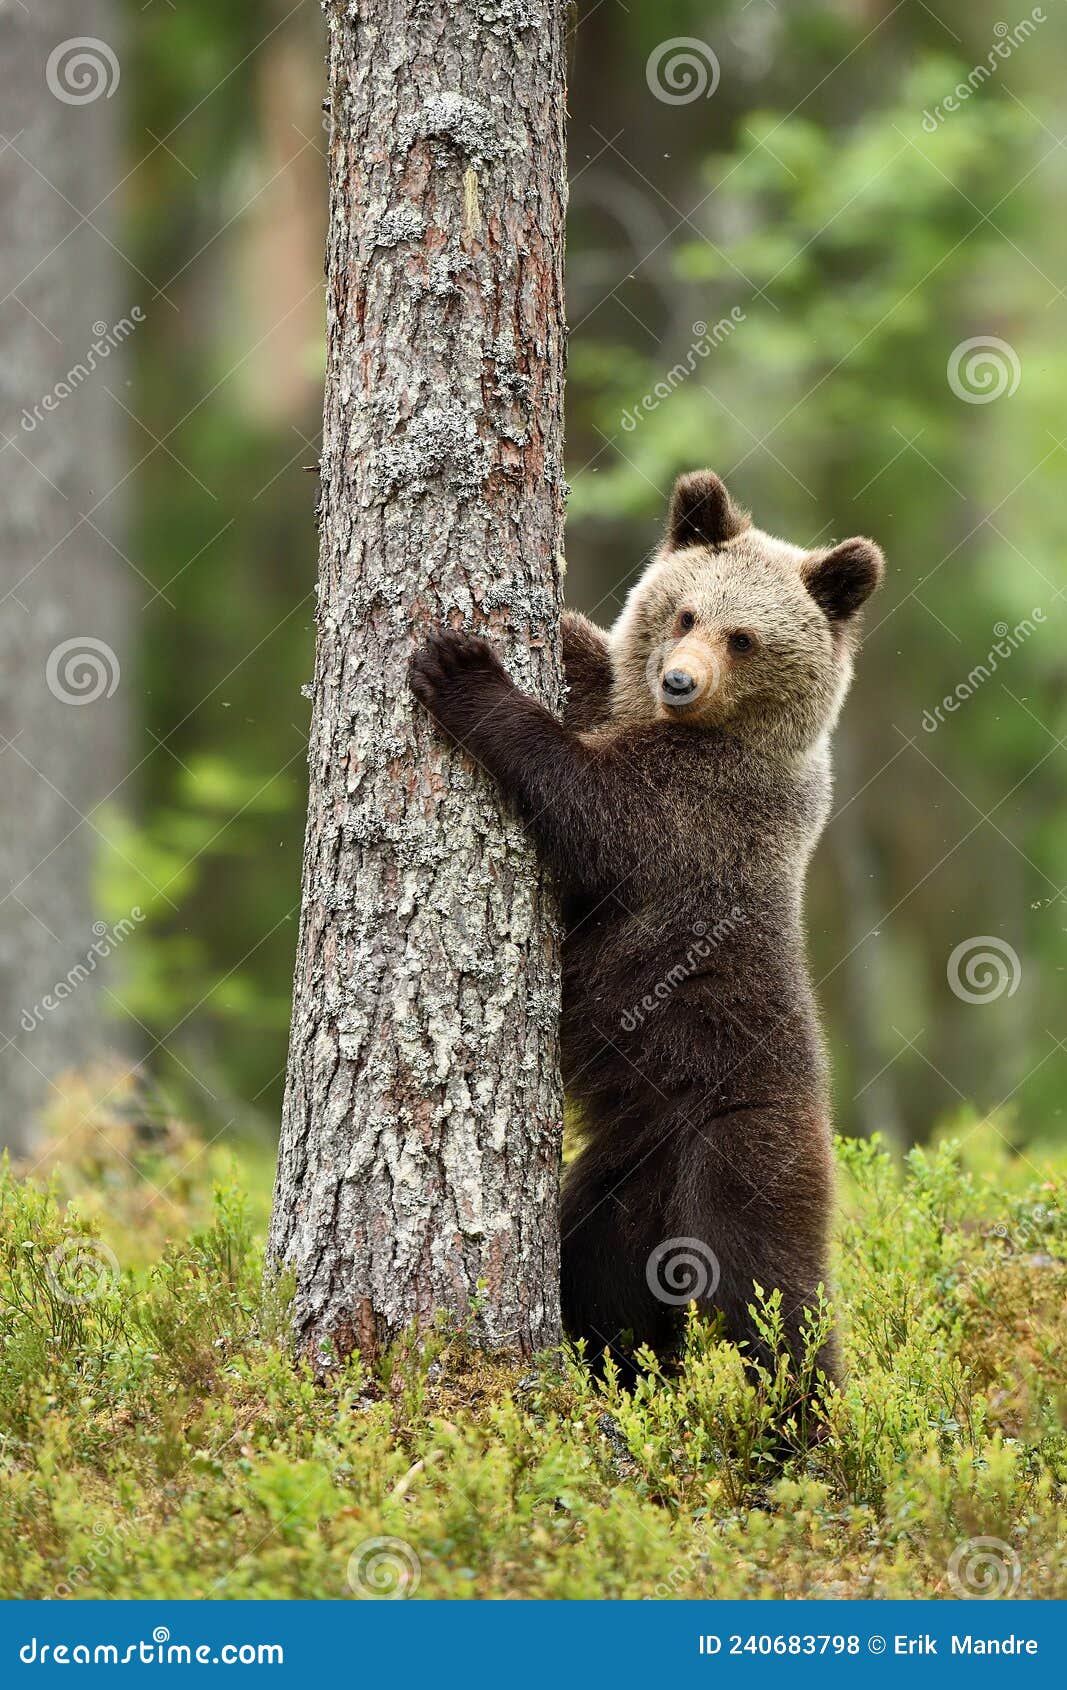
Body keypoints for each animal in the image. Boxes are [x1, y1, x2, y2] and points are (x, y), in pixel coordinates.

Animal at [409, 469, 884, 1398]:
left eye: (744, 638)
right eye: (684, 613)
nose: (679, 682)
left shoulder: (700, 811)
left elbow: (587, 804)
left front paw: (459, 669)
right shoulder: (625, 706)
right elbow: (589, 661)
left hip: (739, 1143)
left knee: (769, 1300)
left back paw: (802, 1414)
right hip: (621, 1189)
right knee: (600, 1286)